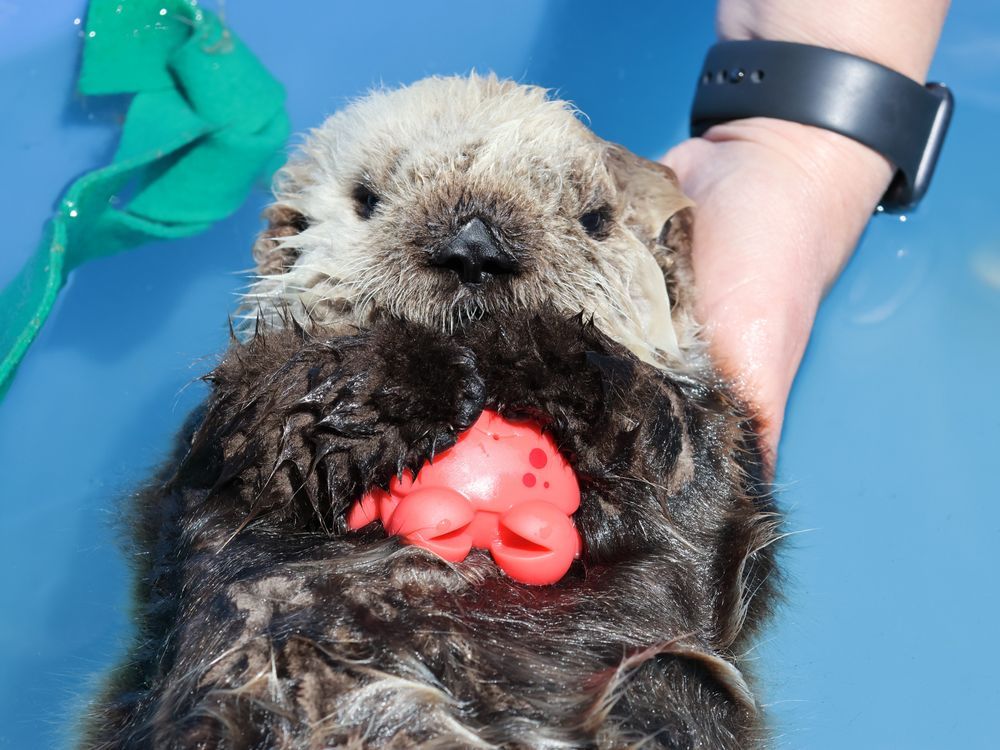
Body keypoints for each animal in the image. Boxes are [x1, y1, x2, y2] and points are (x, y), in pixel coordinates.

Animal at [83, 75, 780, 749]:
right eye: (366, 199)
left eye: (596, 218)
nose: (474, 248)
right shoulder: (218, 447)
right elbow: (268, 415)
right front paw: (427, 369)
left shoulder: (710, 461)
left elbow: (675, 461)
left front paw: (518, 337)